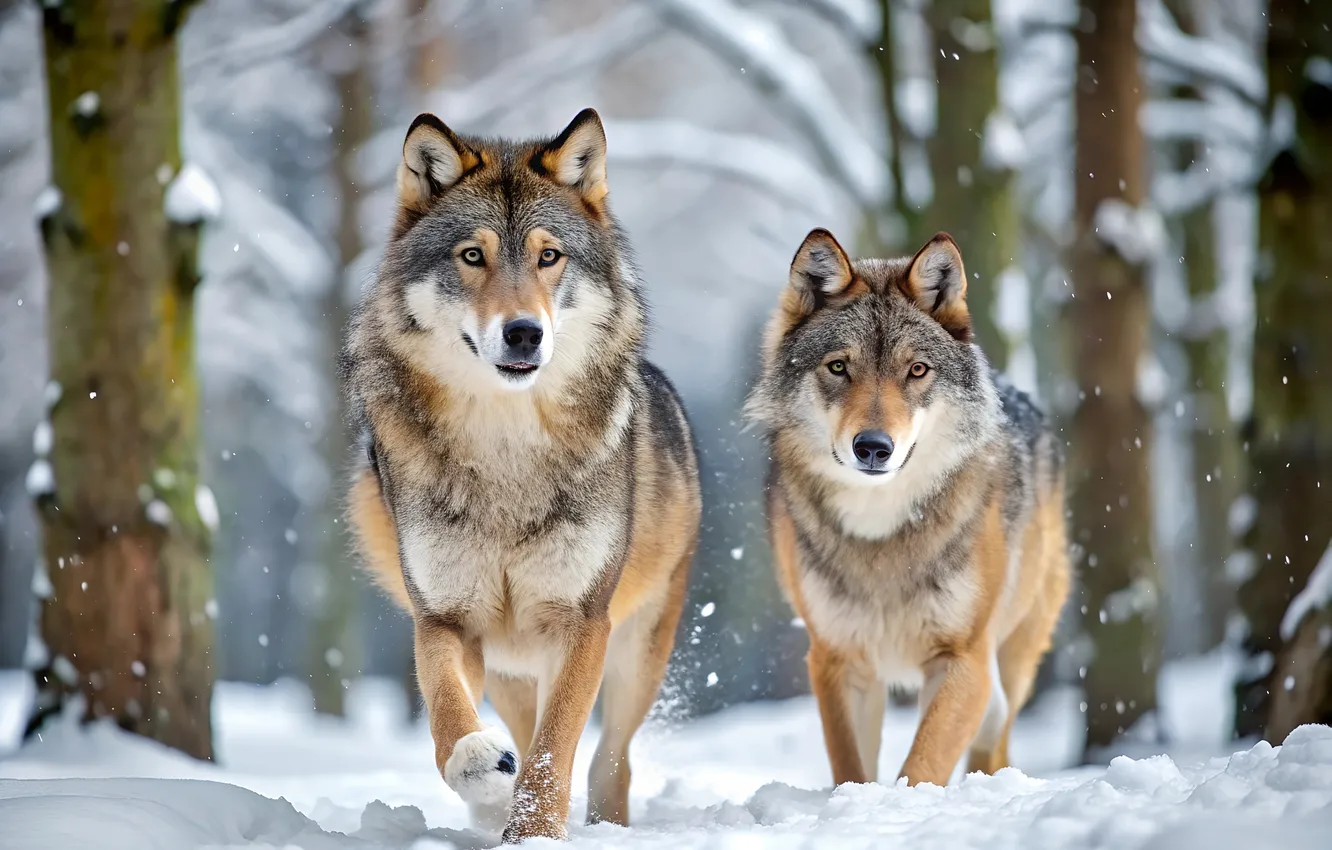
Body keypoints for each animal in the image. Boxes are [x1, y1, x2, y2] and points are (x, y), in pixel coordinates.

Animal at [341, 109, 701, 842]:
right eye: (472, 256)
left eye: (548, 256)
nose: (524, 334)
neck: (506, 448)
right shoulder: (445, 618)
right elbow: (449, 715)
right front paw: (481, 773)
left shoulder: (581, 622)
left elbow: (555, 748)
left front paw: (533, 834)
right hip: (511, 665)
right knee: (521, 726)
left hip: (637, 650)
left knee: (609, 758)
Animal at [746, 228, 1069, 787]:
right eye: (839, 367)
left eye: (917, 370)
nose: (873, 447)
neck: (880, 525)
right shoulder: (837, 660)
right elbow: (852, 769)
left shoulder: (963, 659)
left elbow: (922, 766)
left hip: (1011, 666)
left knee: (994, 748)